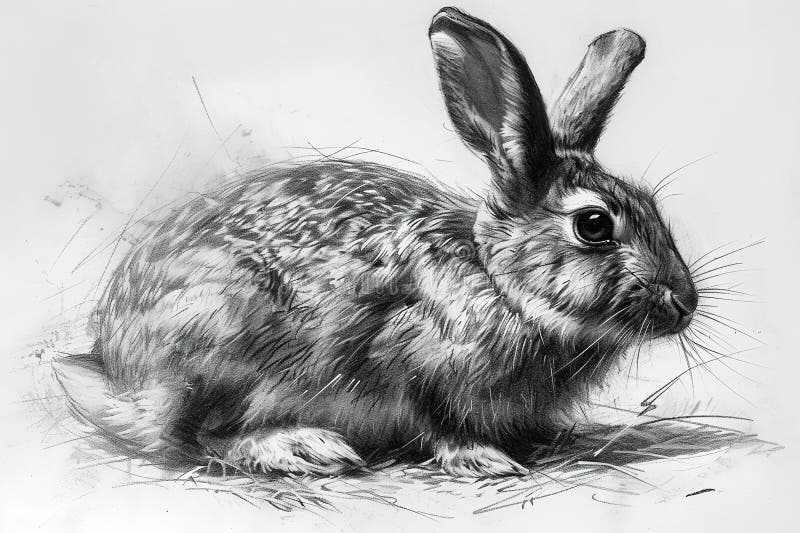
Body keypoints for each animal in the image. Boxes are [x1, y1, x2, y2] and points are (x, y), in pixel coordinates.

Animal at [55, 6, 698, 478]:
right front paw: (483, 459)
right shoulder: (415, 360)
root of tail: (116, 364)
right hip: (221, 336)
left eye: (653, 206)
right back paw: (300, 447)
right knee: (194, 437)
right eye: (594, 225)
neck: (498, 281)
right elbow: (439, 421)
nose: (684, 304)